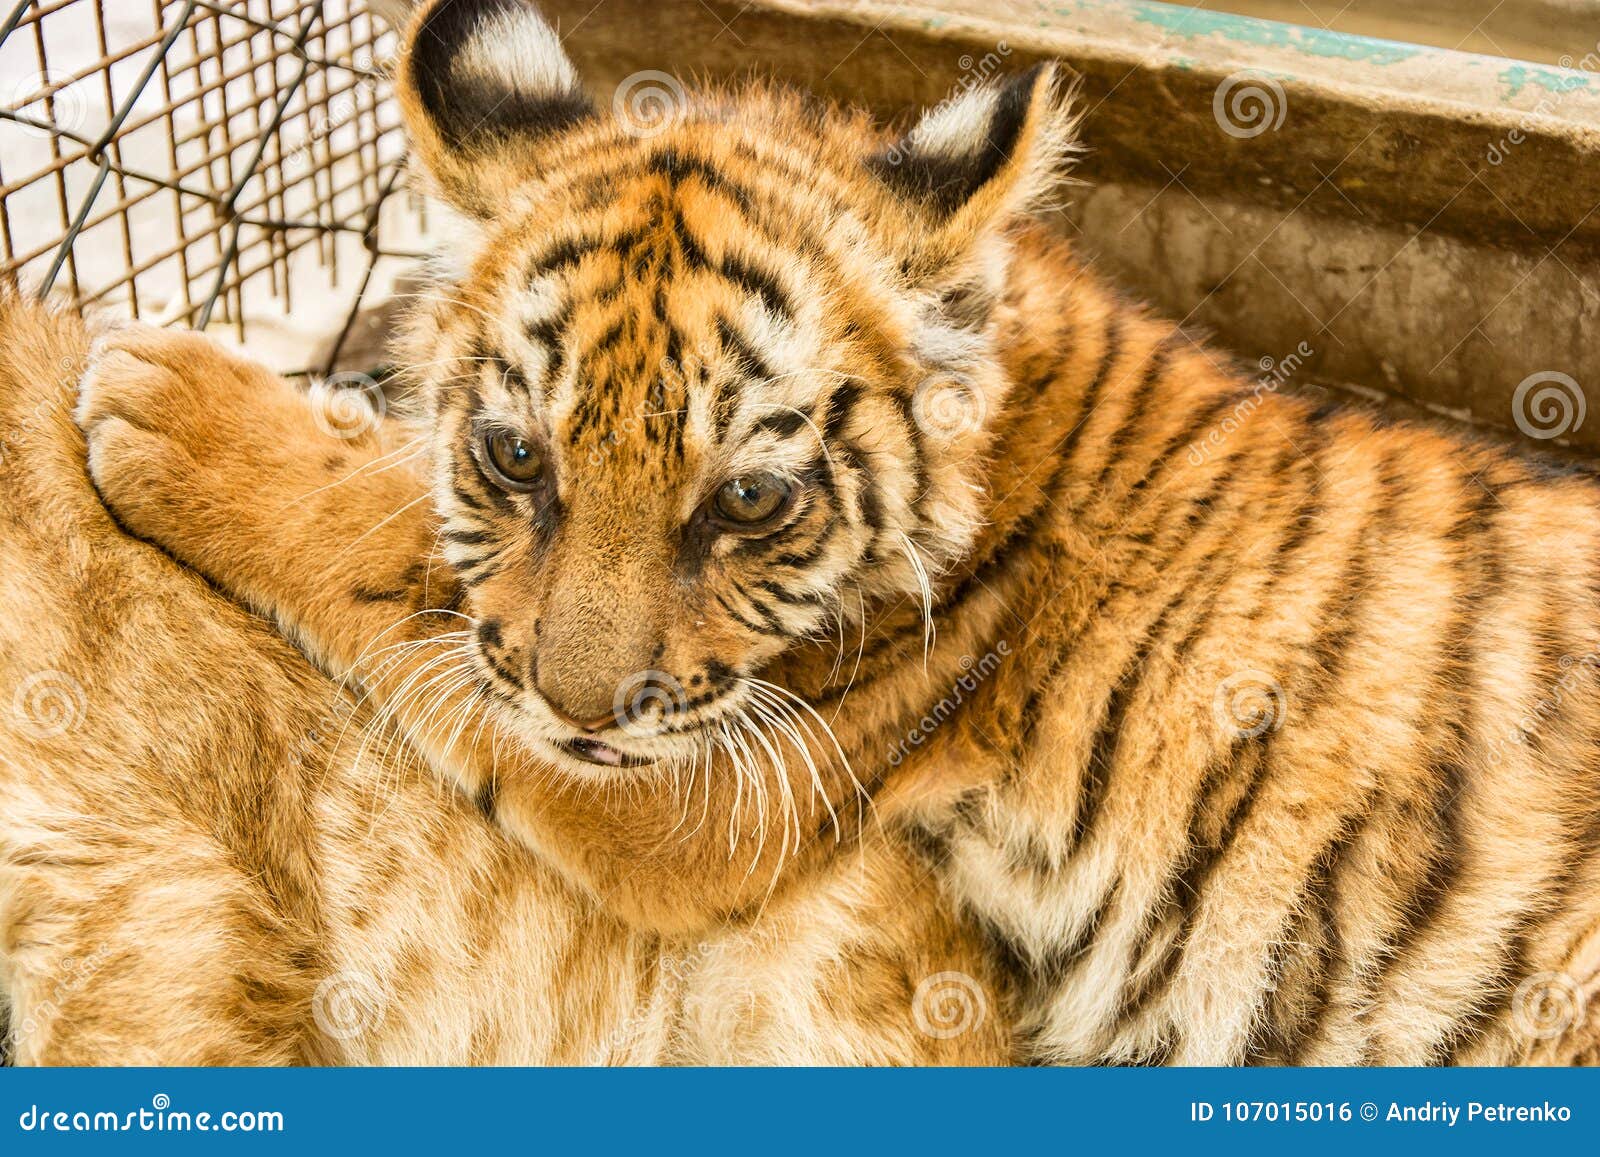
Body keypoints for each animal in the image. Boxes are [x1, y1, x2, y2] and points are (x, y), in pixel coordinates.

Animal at [75, 0, 1600, 1065]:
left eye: (750, 498)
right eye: (516, 454)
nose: (584, 708)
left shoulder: (705, 794)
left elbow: (392, 562)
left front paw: (166, 400)